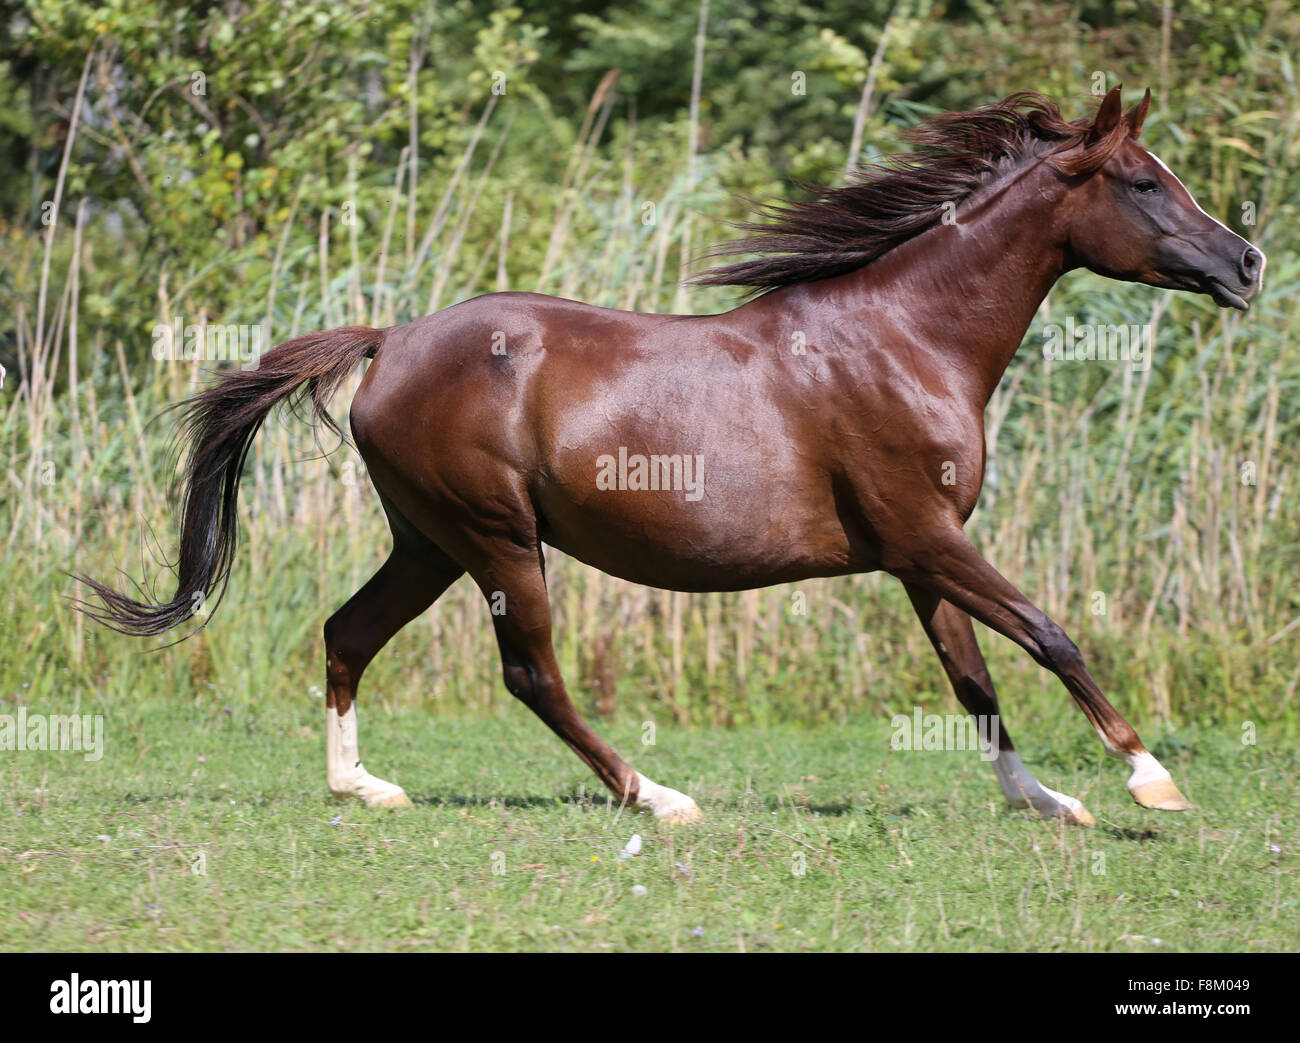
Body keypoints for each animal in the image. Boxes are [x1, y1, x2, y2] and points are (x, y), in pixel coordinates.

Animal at [80, 86, 1264, 825]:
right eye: (1144, 182)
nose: (1248, 262)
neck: (906, 337)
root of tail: (393, 340)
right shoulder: (926, 536)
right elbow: (1050, 634)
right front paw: (1151, 781)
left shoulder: (919, 552)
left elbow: (971, 676)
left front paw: (1047, 801)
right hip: (497, 540)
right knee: (530, 673)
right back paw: (657, 795)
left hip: (428, 540)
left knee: (347, 632)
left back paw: (363, 789)